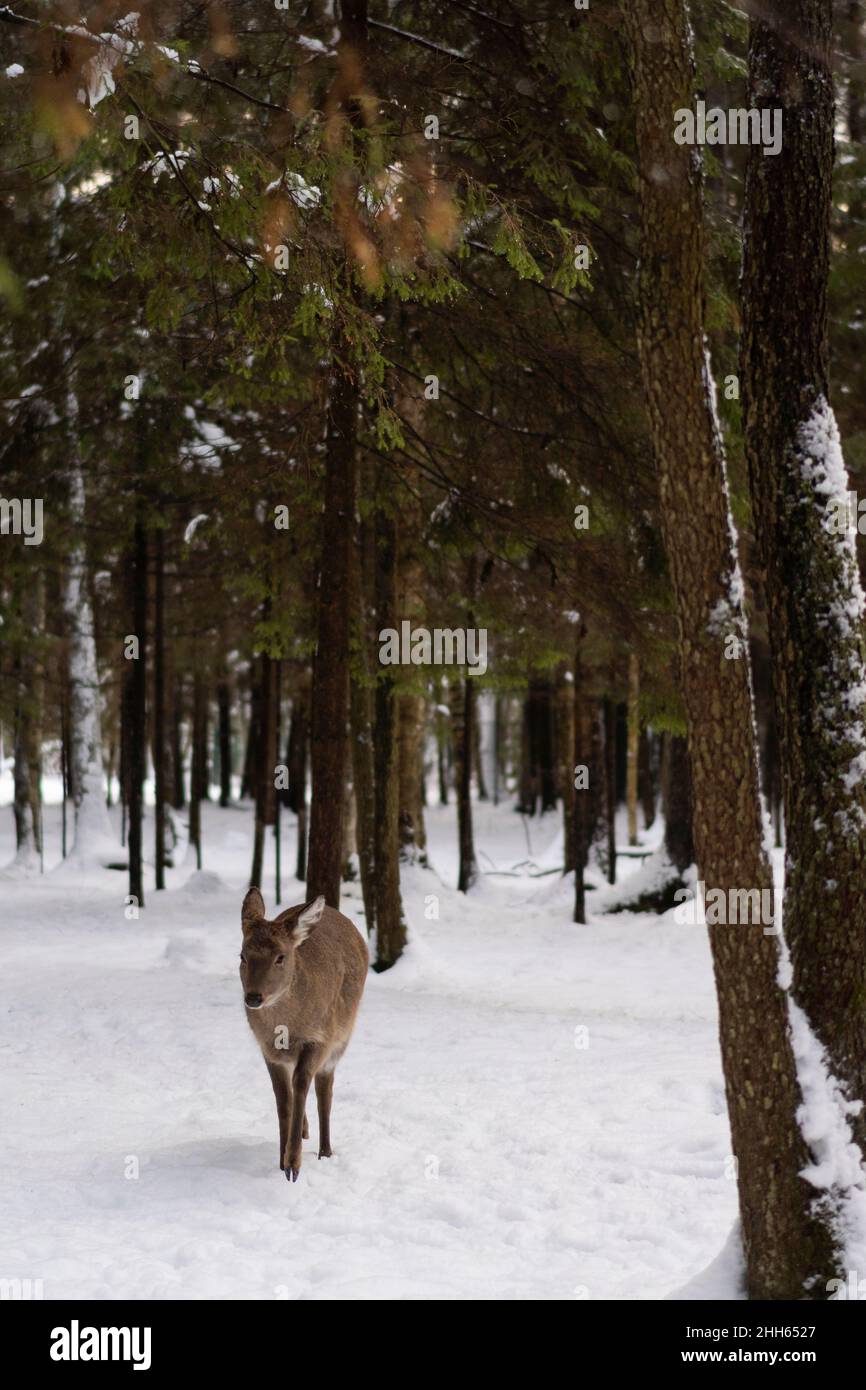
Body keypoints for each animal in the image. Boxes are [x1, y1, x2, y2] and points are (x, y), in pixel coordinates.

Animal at [239, 886, 368, 1182]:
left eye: (280, 957)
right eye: (242, 956)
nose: (253, 997)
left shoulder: (319, 1039)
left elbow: (301, 1086)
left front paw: (293, 1166)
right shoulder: (268, 1049)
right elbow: (283, 1099)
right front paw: (281, 1161)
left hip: (341, 1038)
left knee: (324, 1091)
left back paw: (325, 1150)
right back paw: (305, 1132)